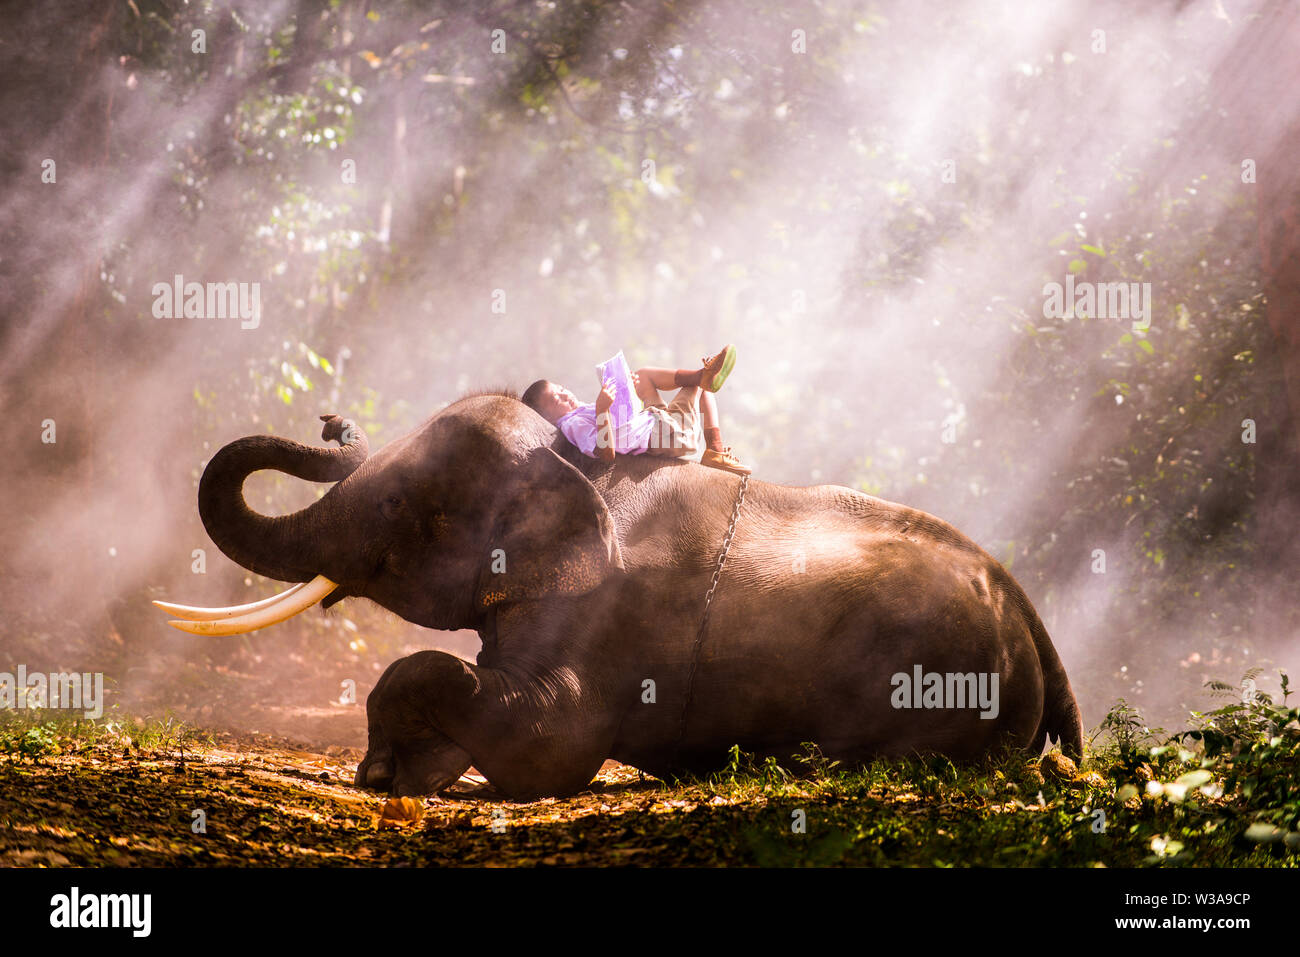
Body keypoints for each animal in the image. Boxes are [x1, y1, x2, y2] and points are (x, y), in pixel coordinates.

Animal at [157, 396, 1084, 799]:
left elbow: (553, 746)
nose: (331, 421)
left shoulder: (606, 619)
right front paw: (409, 772)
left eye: (402, 508)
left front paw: (389, 776)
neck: (581, 464)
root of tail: (1036, 627)